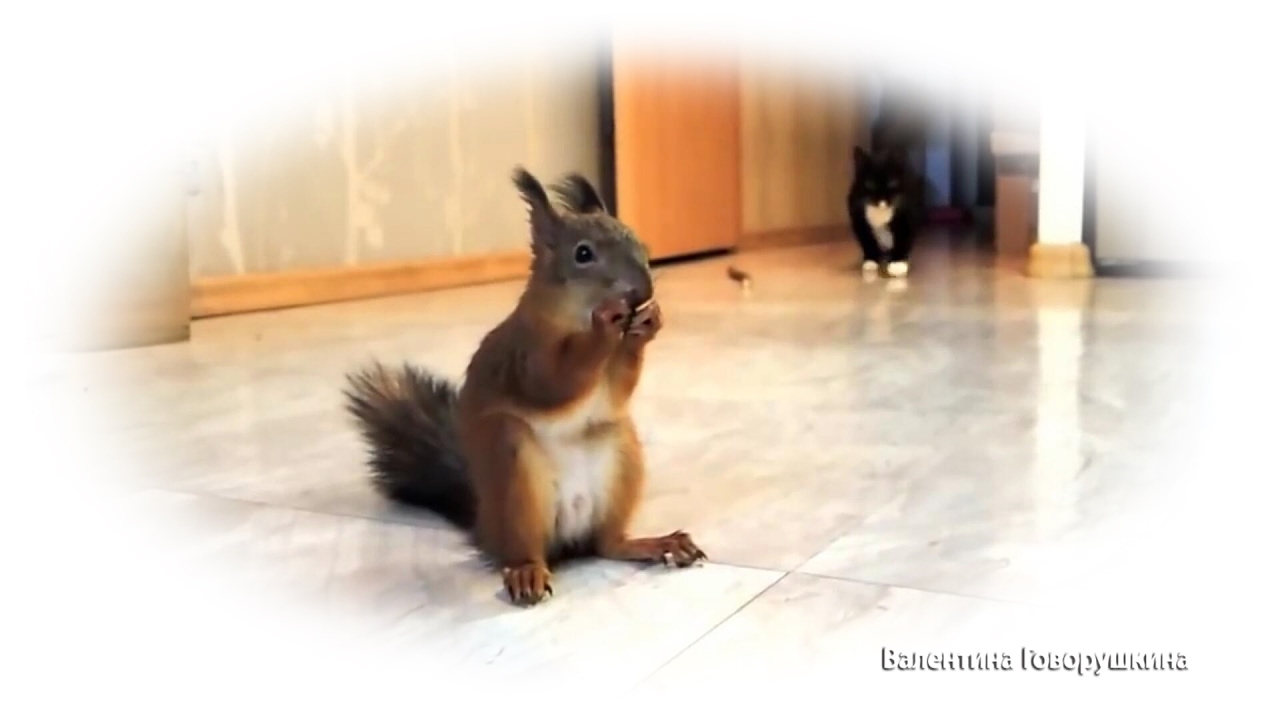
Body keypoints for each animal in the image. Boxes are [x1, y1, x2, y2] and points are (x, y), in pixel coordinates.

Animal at [343, 166, 707, 607]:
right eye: (582, 254)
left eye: (635, 237)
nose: (643, 291)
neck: (573, 318)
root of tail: (487, 525)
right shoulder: (525, 356)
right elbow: (553, 383)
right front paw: (605, 323)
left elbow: (618, 388)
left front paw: (649, 323)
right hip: (514, 471)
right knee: (528, 550)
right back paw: (526, 573)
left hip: (622, 454)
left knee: (607, 545)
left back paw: (657, 544)